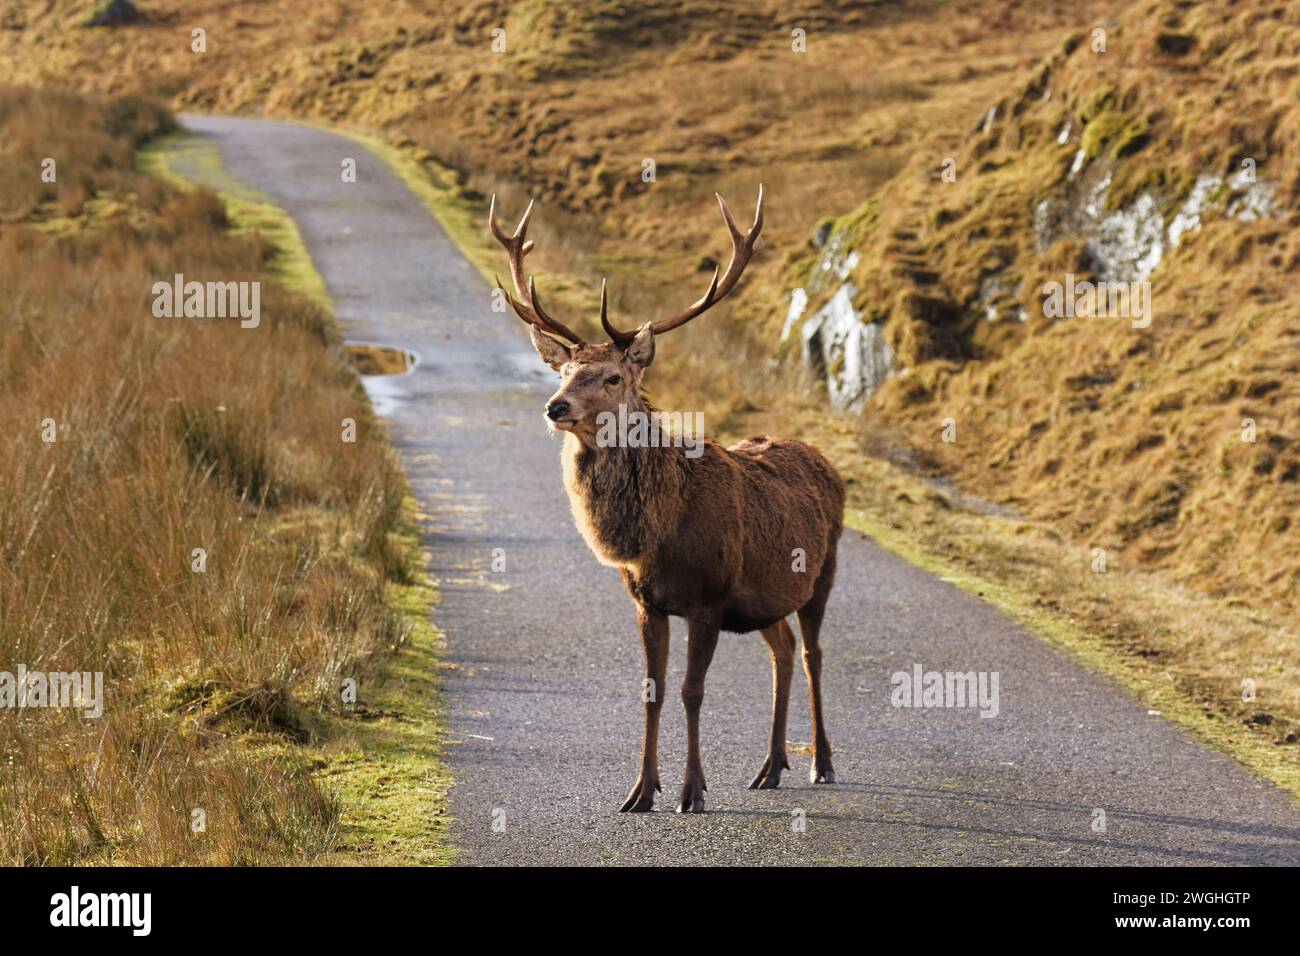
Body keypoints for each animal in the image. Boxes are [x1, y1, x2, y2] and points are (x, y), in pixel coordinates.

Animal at [488, 186, 844, 813]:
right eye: (563, 371)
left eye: (611, 377)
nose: (556, 407)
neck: (657, 534)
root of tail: (826, 463)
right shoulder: (646, 602)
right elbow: (652, 690)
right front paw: (639, 791)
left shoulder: (708, 597)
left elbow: (691, 690)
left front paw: (691, 790)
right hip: (763, 599)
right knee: (781, 649)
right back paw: (769, 767)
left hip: (821, 575)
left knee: (812, 653)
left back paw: (820, 763)